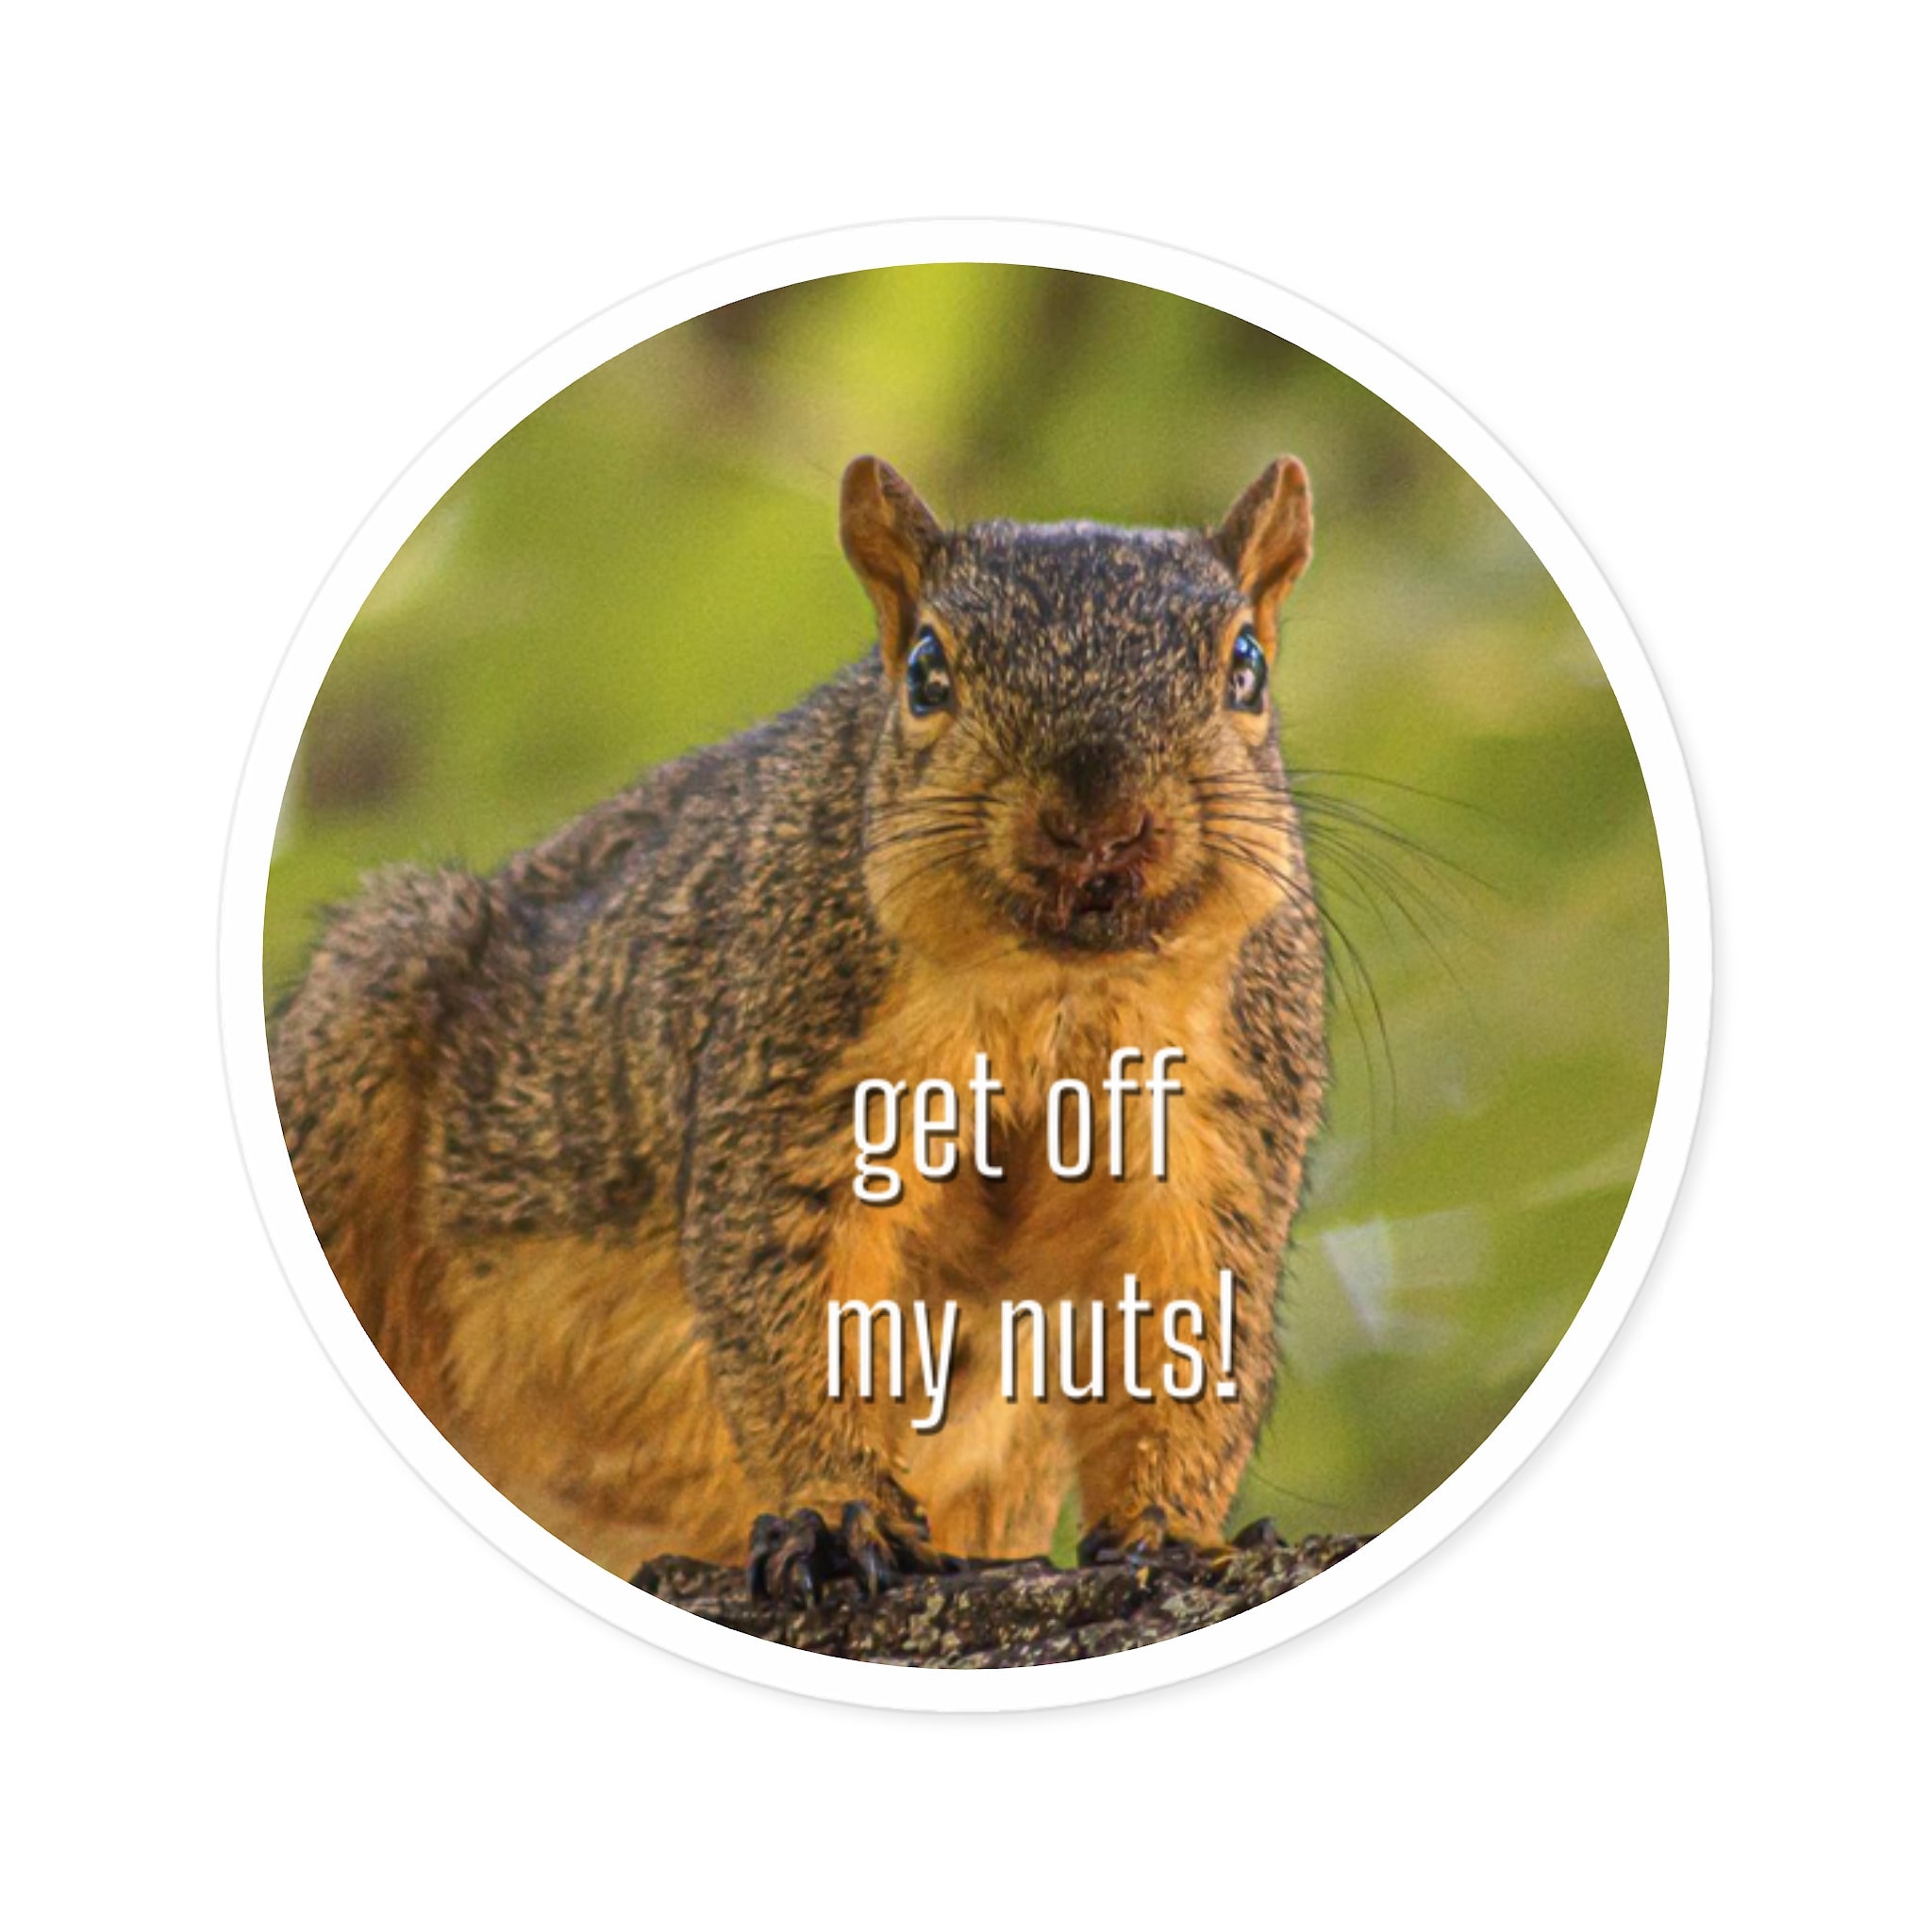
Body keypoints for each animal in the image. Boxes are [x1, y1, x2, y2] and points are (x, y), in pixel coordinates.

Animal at [270, 453, 1327, 1602]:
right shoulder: (795, 1046)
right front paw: (835, 1512)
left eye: (1246, 666)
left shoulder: (1228, 1099)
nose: (1099, 822)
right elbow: (796, 1285)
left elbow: (1183, 1308)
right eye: (925, 671)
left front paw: (1170, 1530)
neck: (1054, 986)